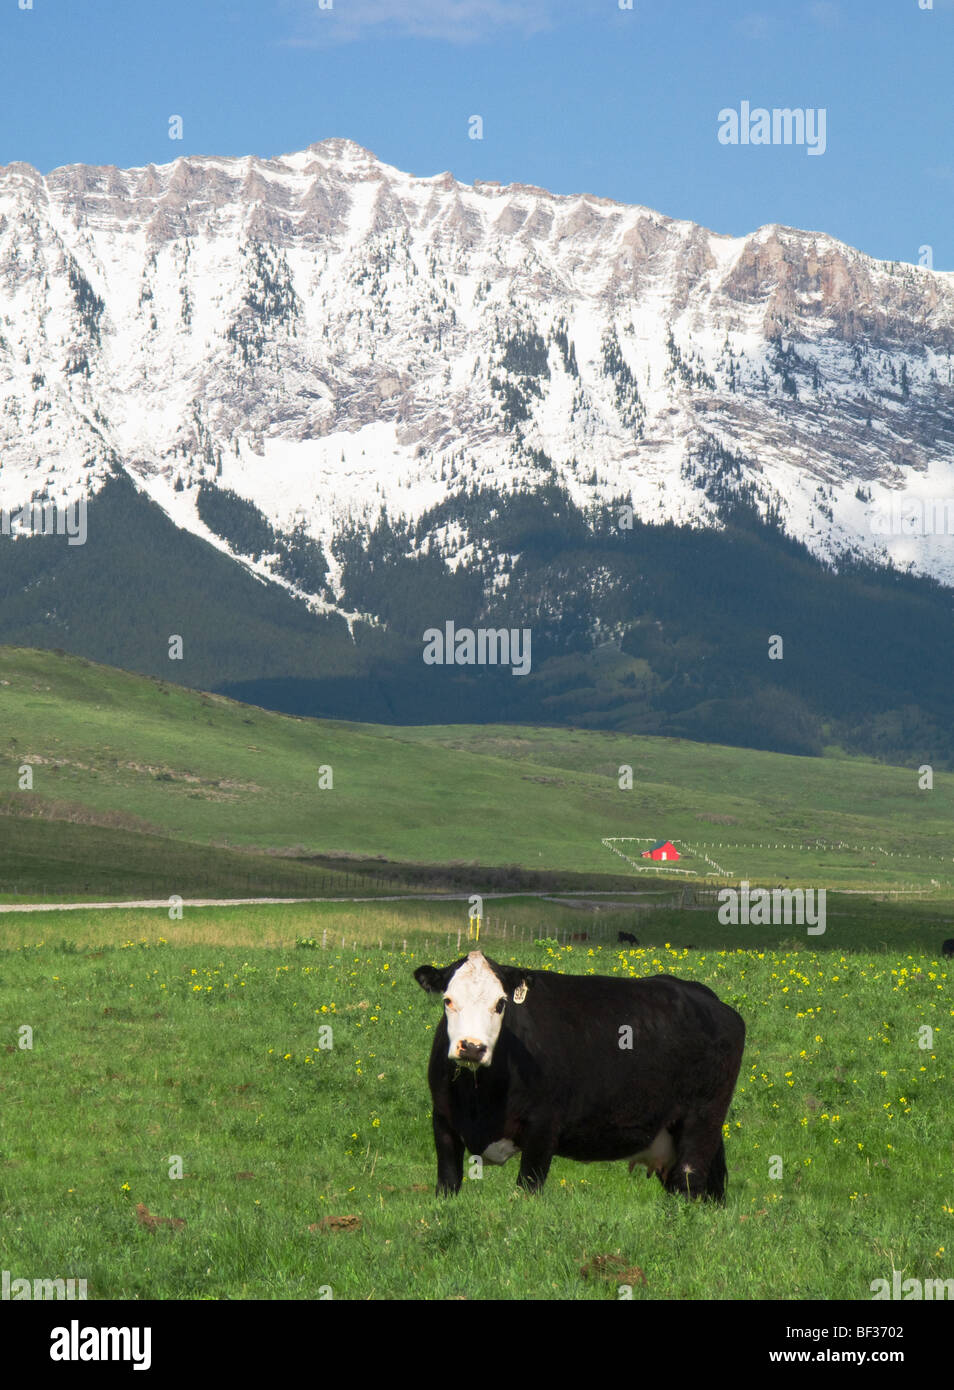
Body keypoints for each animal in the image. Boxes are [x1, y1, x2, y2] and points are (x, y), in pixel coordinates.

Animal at [414, 950, 745, 1201]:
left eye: (500, 1003)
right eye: (448, 1000)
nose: (472, 1047)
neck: (479, 1096)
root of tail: (704, 995)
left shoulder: (543, 1127)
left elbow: (527, 1189)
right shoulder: (443, 1122)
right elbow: (447, 1185)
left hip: (702, 1120)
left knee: (688, 1184)